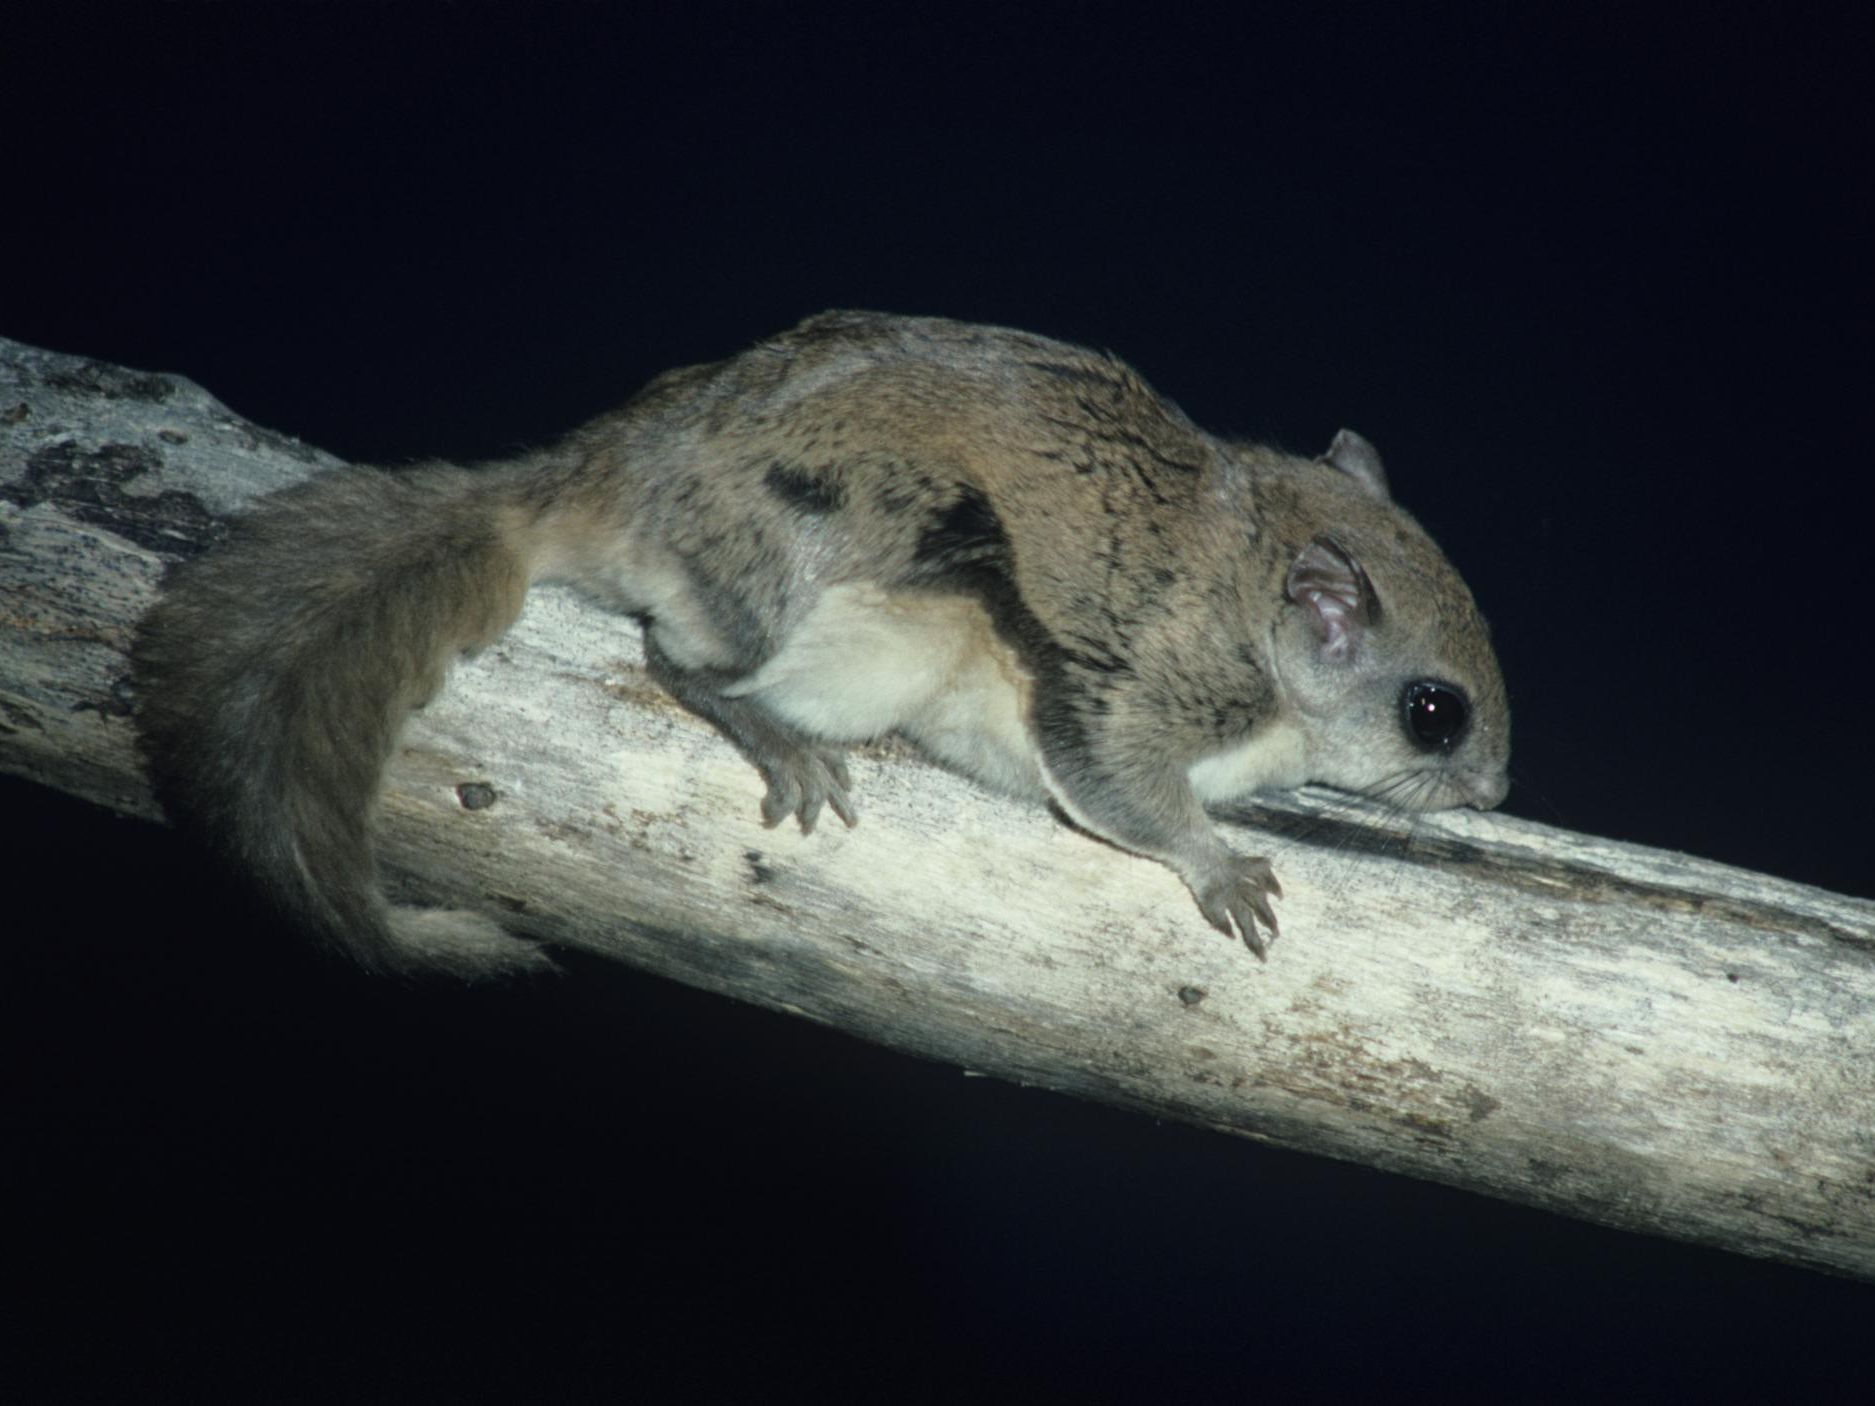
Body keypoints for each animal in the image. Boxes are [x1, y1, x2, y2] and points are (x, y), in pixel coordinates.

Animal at [132, 314, 1507, 982]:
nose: (1498, 789)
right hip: (835, 589)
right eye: (1435, 710)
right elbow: (1128, 794)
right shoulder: (1135, 690)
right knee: (682, 662)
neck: (1252, 600)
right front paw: (1221, 863)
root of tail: (602, 481)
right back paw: (777, 739)